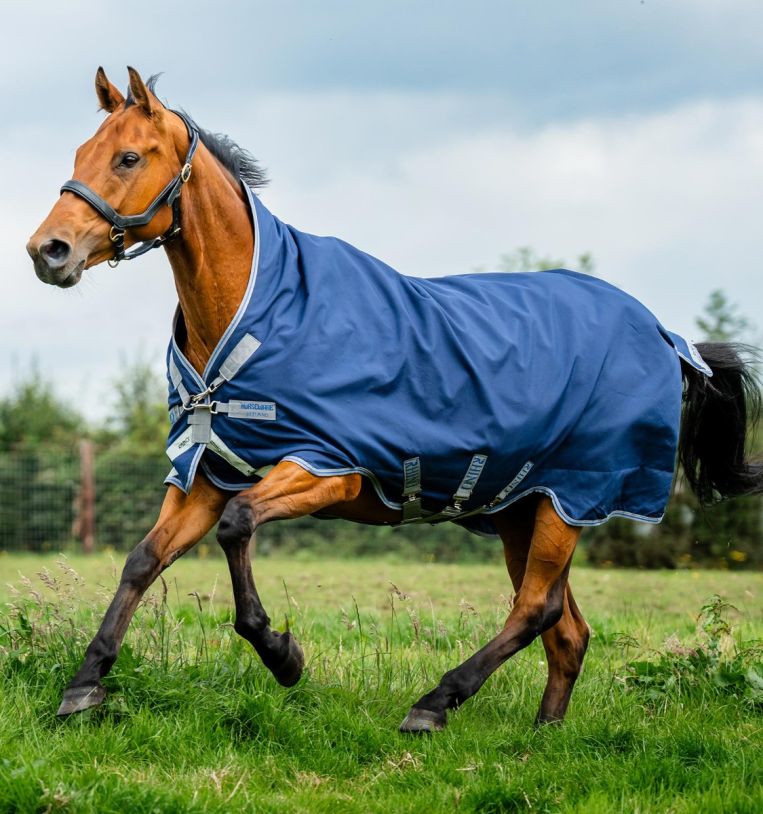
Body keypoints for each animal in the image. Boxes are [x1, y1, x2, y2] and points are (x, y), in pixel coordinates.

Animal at [27, 67, 762, 733]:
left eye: (128, 157)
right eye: (80, 154)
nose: (47, 251)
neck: (259, 311)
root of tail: (666, 336)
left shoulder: (326, 467)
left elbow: (238, 526)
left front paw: (283, 655)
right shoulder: (208, 473)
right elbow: (143, 559)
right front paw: (85, 686)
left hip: (570, 500)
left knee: (537, 610)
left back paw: (434, 704)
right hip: (524, 510)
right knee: (565, 629)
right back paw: (541, 737)